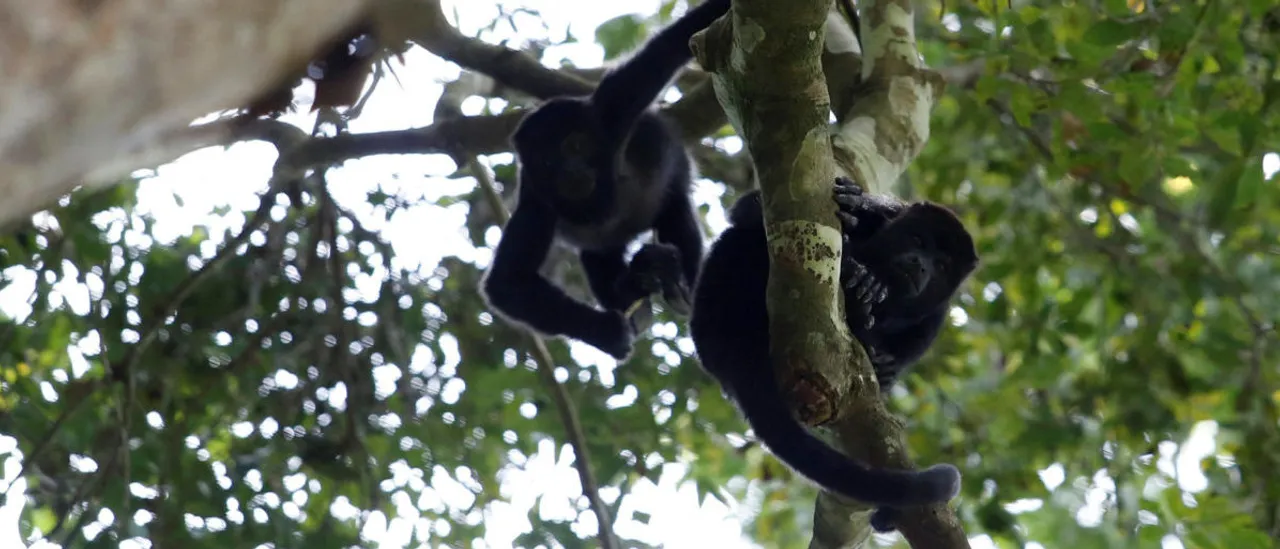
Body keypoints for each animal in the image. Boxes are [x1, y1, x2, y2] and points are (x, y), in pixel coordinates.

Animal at [481, 0, 730, 360]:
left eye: (574, 145)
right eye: (547, 161)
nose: (570, 170)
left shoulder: (612, 110)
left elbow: (667, 47)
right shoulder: (535, 202)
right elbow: (507, 283)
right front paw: (606, 332)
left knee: (677, 214)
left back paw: (679, 287)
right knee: (597, 258)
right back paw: (634, 286)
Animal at [687, 176, 978, 522]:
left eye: (942, 265)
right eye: (918, 240)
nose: (920, 264)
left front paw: (883, 362)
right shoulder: (891, 210)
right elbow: (747, 209)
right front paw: (856, 204)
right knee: (741, 239)